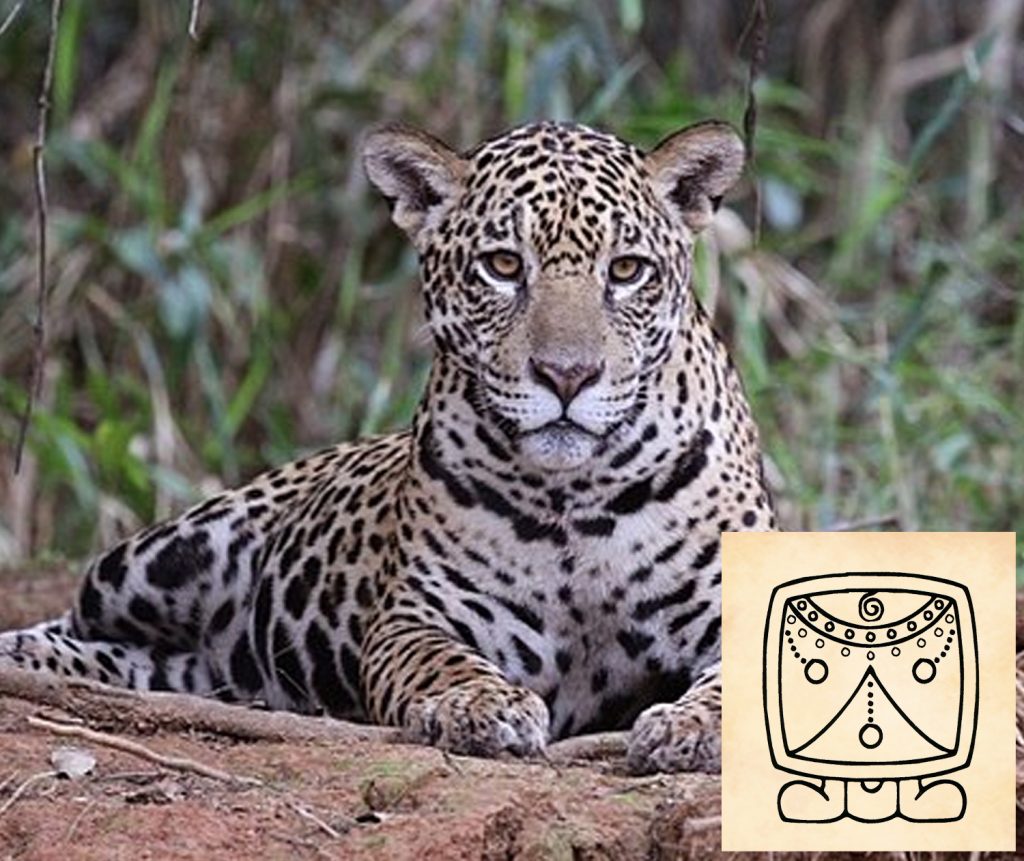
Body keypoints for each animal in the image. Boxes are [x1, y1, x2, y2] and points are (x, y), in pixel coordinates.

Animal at [0, 119, 774, 774]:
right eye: (502, 266)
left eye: (626, 270)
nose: (566, 375)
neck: (574, 495)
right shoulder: (420, 614)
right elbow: (441, 661)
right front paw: (480, 705)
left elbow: (737, 679)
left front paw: (689, 728)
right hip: (154, 560)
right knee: (73, 622)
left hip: (188, 662)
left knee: (138, 666)